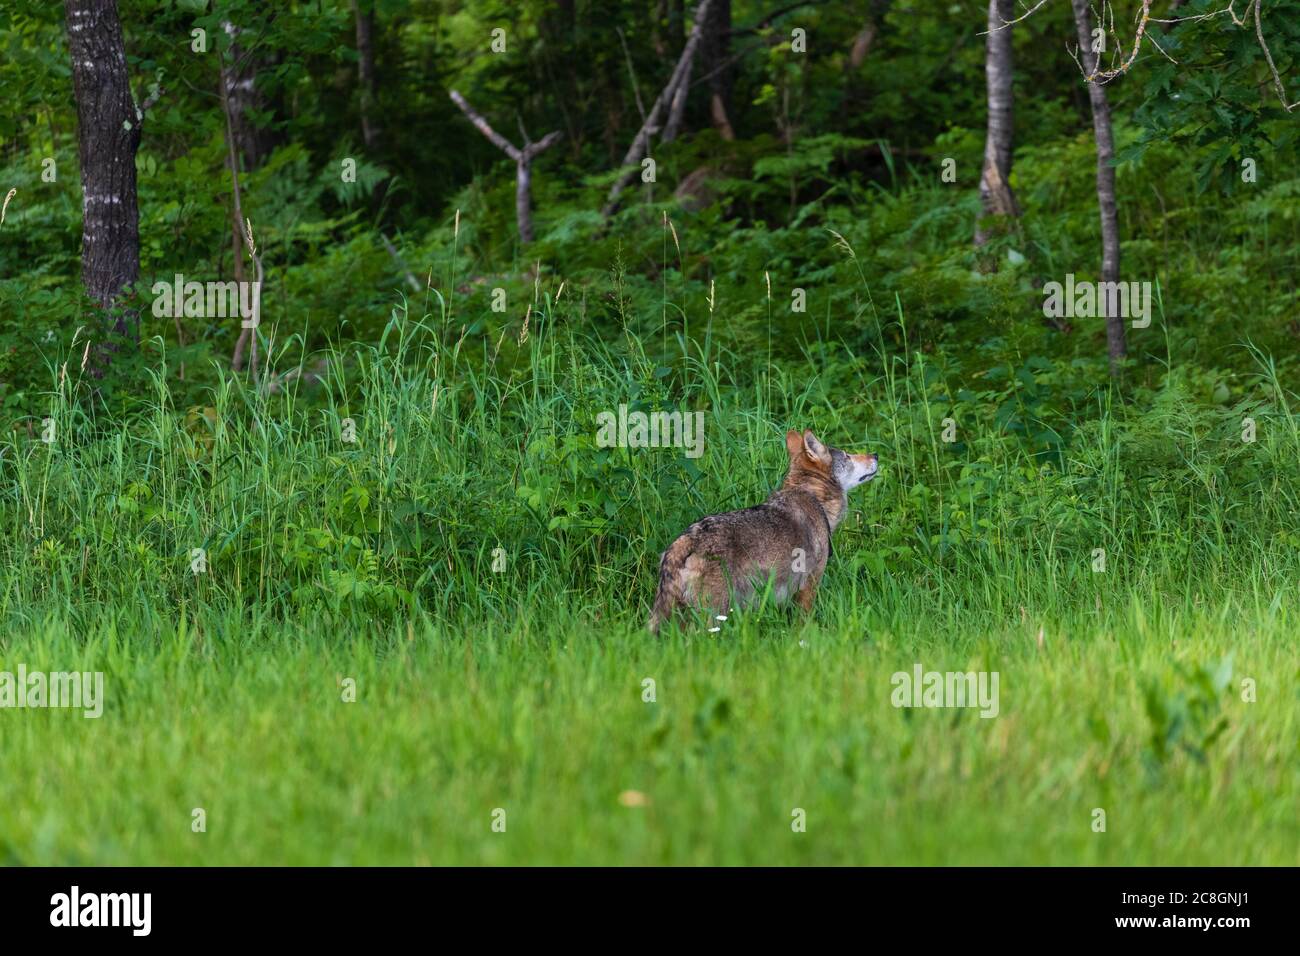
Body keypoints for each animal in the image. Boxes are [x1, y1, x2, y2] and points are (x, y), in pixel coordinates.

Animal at [648, 429, 878, 633]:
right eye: (848, 456)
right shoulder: (809, 586)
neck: (812, 496)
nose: (875, 455)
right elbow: (803, 624)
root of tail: (685, 539)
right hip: (713, 614)